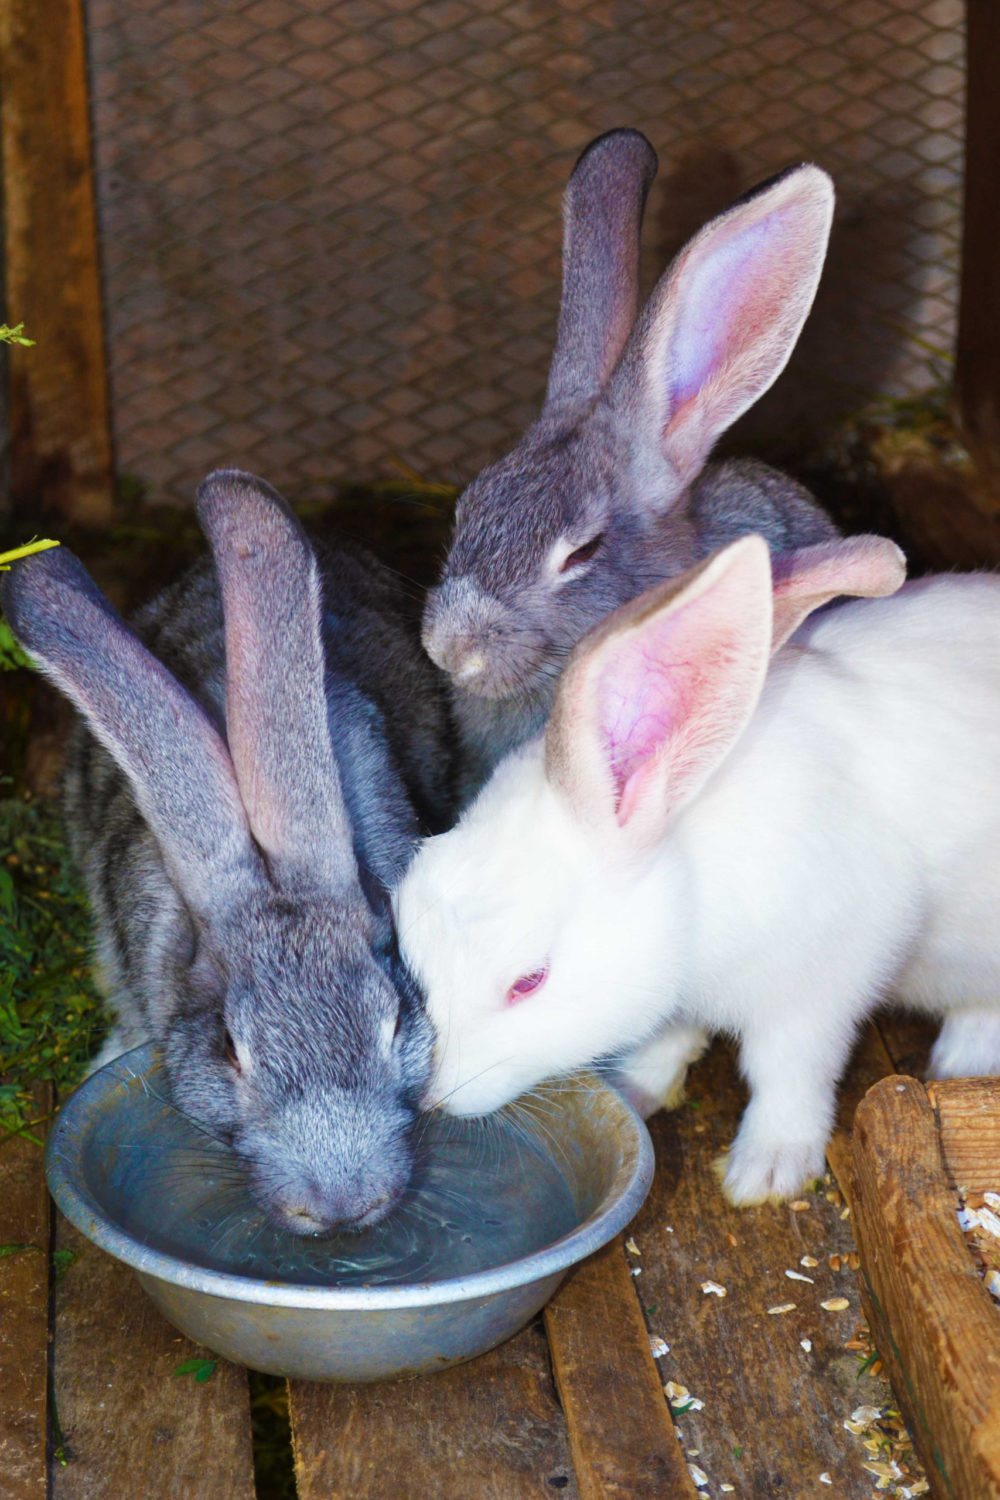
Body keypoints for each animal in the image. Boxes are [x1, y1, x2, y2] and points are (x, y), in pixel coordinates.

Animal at [396, 532, 1000, 1206]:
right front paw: (637, 1087)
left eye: (529, 982)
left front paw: (765, 1171)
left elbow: (787, 1074)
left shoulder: (820, 987)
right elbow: (671, 1037)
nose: (436, 1097)